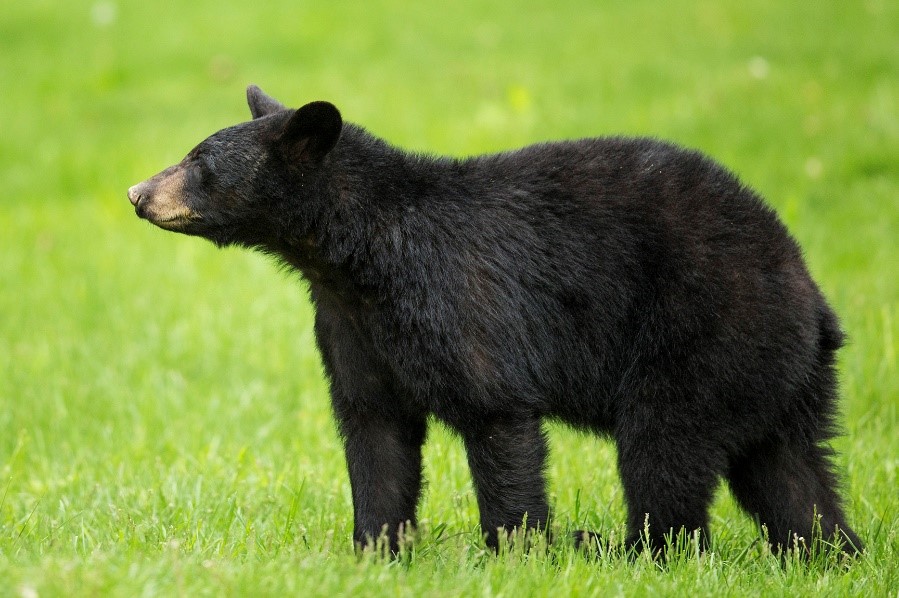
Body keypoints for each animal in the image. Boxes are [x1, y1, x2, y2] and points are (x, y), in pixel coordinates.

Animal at [128, 85, 863, 558]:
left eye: (200, 161)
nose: (137, 193)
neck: (359, 259)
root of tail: (810, 293)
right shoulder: (350, 327)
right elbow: (375, 432)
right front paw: (374, 549)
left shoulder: (458, 301)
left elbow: (496, 417)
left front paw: (515, 550)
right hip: (773, 373)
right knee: (790, 472)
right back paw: (828, 552)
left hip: (704, 333)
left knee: (664, 453)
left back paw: (626, 550)